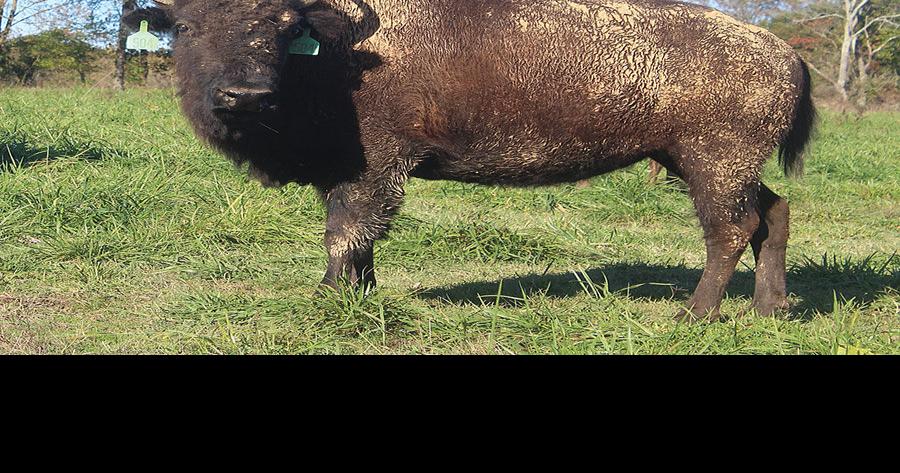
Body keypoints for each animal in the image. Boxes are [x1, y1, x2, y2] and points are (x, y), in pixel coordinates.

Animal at [125, 0, 815, 321]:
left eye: (282, 23)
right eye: (184, 26)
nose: (242, 95)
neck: (338, 48)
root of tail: (783, 50)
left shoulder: (372, 170)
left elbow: (345, 234)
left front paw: (328, 298)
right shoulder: (347, 174)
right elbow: (358, 239)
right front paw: (360, 294)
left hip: (712, 164)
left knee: (730, 230)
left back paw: (693, 314)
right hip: (707, 164)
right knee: (773, 214)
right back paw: (770, 308)